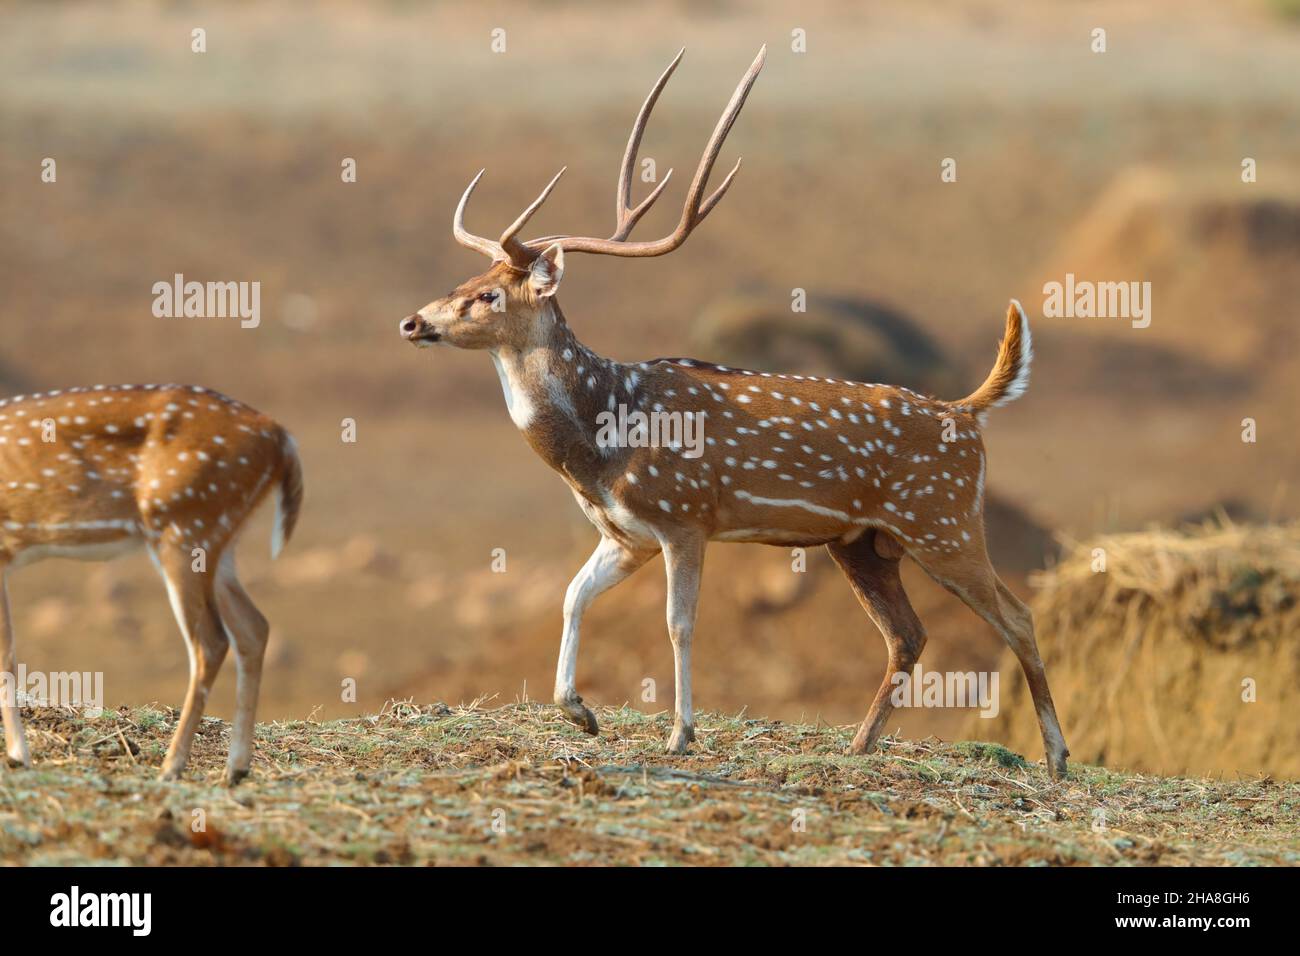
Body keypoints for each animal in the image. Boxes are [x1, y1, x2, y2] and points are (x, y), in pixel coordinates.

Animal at [0, 383, 303, 785]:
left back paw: (172, 765)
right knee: (254, 627)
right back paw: (234, 768)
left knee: (212, 642)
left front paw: (19, 756)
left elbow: (6, 653)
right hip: (219, 543)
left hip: (186, 523)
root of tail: (281, 437)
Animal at [398, 47, 1070, 777]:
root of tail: (968, 411)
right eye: (462, 282)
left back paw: (1058, 756)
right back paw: (859, 745)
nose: (413, 322)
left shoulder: (686, 514)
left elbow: (679, 624)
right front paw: (579, 712)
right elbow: (573, 595)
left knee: (1018, 614)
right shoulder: (626, 534)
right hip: (863, 542)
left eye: (490, 295)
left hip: (943, 520)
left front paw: (679, 734)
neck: (600, 443)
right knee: (908, 634)